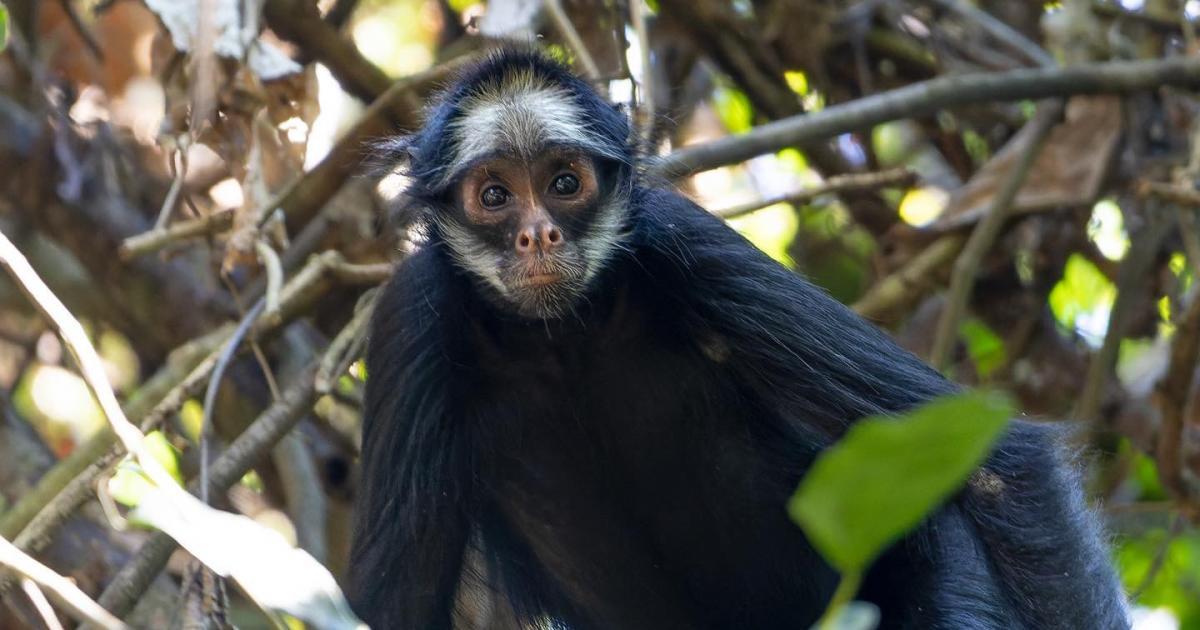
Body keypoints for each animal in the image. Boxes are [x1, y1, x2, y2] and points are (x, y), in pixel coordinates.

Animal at [349, 48, 1129, 630]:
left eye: (564, 183)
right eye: (494, 196)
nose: (537, 235)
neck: (558, 335)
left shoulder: (680, 239)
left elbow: (1005, 465)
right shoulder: (412, 312)